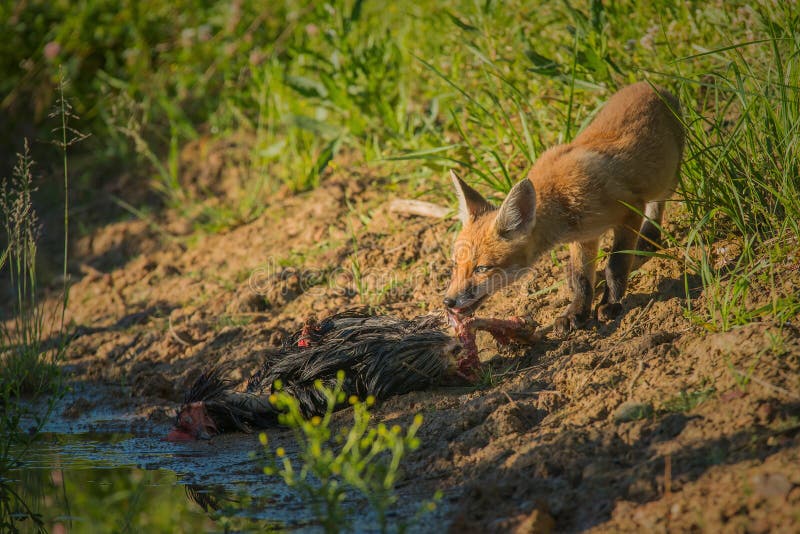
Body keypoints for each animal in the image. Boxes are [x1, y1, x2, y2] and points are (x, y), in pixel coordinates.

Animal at [443, 81, 684, 333]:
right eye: (455, 263)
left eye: (481, 269)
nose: (447, 301)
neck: (563, 200)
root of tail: (648, 83)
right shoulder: (585, 237)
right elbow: (581, 278)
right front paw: (576, 312)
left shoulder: (629, 213)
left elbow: (615, 266)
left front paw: (611, 304)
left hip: (666, 181)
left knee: (658, 204)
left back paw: (650, 237)